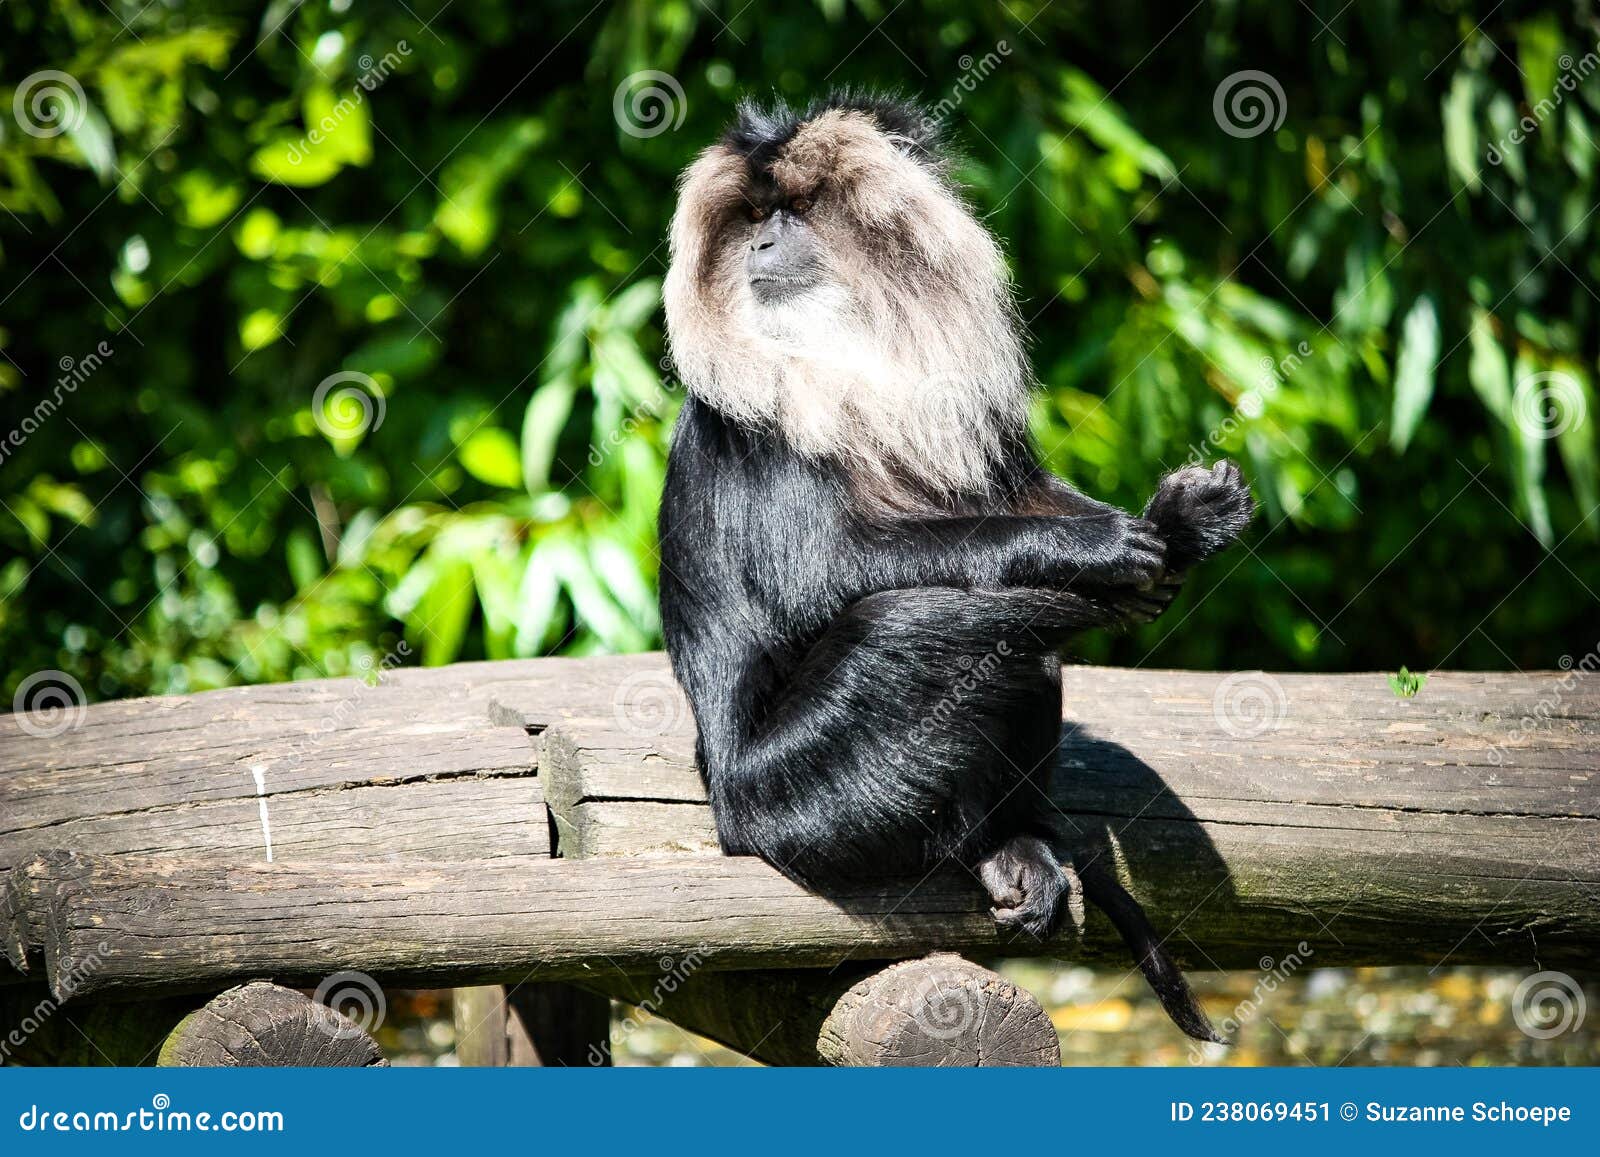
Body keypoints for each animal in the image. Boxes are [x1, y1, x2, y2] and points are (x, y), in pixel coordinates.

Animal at [657, 92, 1254, 1042]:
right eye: (752, 216)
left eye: (795, 209)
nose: (761, 245)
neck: (832, 352)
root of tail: (726, 811)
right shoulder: (752, 423)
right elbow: (818, 577)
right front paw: (1102, 551)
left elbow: (1022, 490)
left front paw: (1172, 520)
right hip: (789, 804)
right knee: (929, 619)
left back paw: (1009, 841)